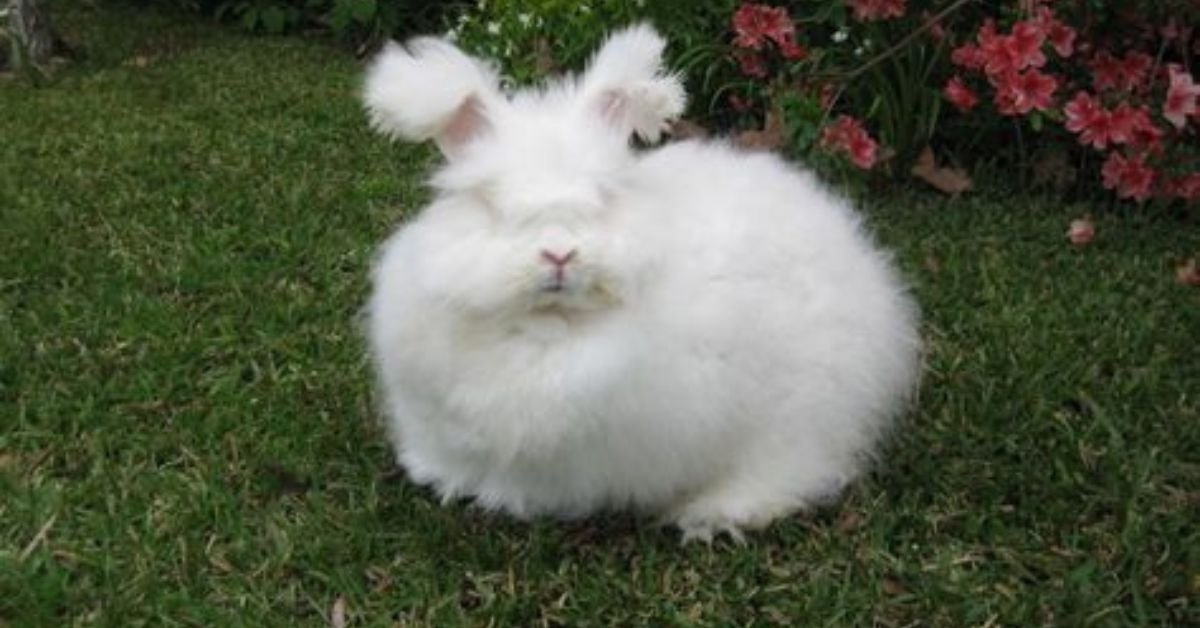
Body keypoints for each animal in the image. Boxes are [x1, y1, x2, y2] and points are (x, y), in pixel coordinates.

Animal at [361, 24, 922, 543]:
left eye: (602, 201)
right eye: (496, 207)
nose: (559, 253)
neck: (548, 325)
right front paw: (446, 479)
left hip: (799, 410)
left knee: (794, 470)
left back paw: (714, 514)